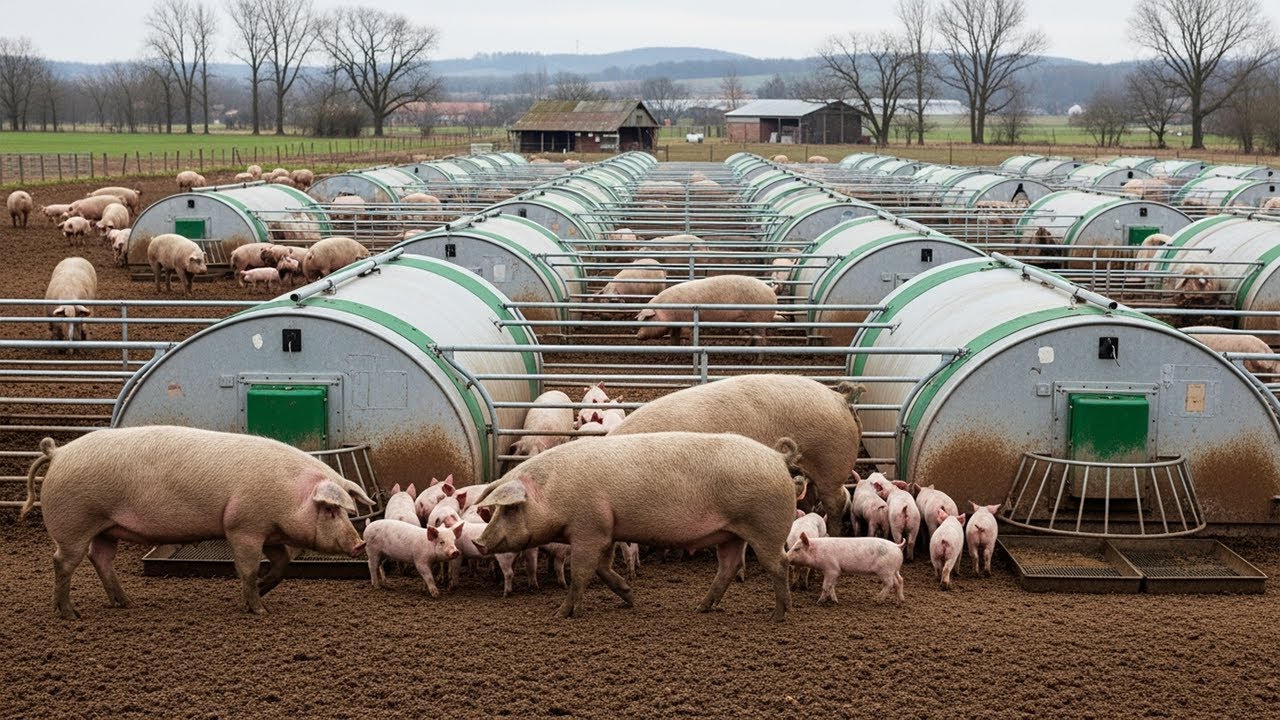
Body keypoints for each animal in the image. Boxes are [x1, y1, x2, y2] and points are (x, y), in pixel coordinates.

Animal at [21, 426, 374, 619]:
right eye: (330, 510)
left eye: (346, 510)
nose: (359, 543)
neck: (287, 494)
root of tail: (58, 453)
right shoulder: (243, 526)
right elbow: (246, 569)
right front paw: (259, 609)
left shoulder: (268, 531)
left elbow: (282, 564)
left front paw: (260, 593)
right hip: (75, 523)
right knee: (63, 562)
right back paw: (71, 614)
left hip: (106, 527)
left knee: (101, 558)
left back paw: (126, 604)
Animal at [474, 432, 799, 620]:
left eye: (511, 508)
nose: (479, 542)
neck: (554, 493)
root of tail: (777, 457)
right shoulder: (605, 531)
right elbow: (602, 569)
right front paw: (631, 598)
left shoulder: (588, 528)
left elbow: (581, 573)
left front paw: (561, 614)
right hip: (730, 533)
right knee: (728, 567)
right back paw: (701, 608)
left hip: (766, 527)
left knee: (779, 565)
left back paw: (779, 616)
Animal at [636, 275, 778, 345]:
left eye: (648, 319)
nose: (637, 335)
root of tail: (771, 291)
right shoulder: (676, 324)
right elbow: (674, 337)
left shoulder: (688, 320)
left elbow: (689, 336)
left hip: (759, 319)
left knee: (762, 341)